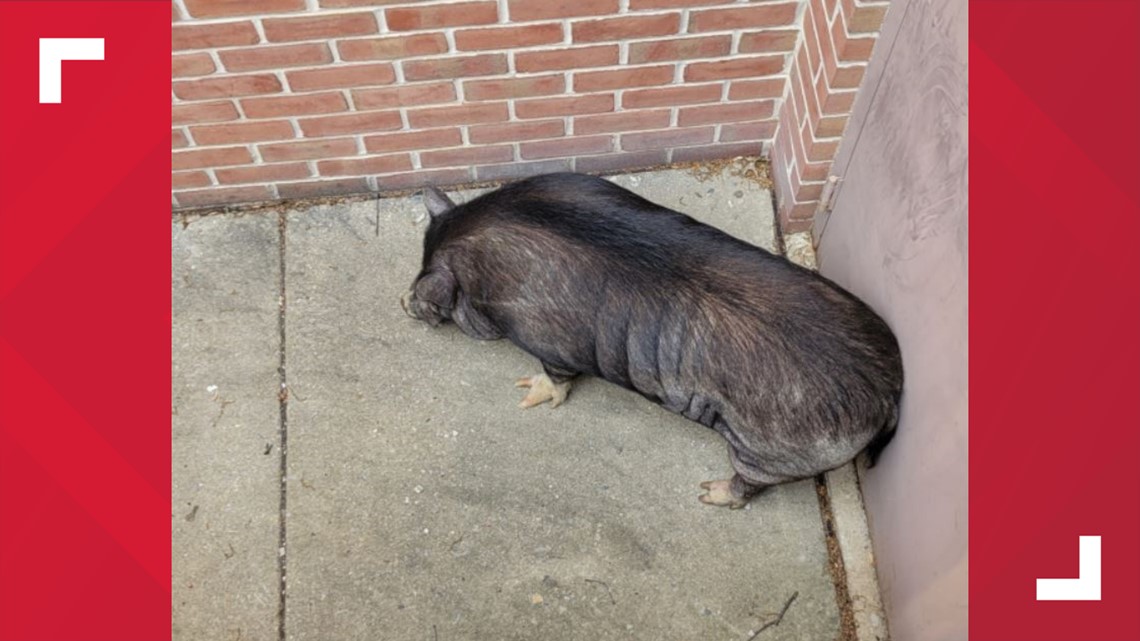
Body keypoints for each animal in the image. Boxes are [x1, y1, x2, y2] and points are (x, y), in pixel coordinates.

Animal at [400, 173, 903, 508]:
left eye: (428, 288)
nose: (404, 301)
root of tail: (888, 388)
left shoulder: (550, 340)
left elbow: (556, 376)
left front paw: (528, 395)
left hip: (775, 450)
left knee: (753, 481)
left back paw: (709, 493)